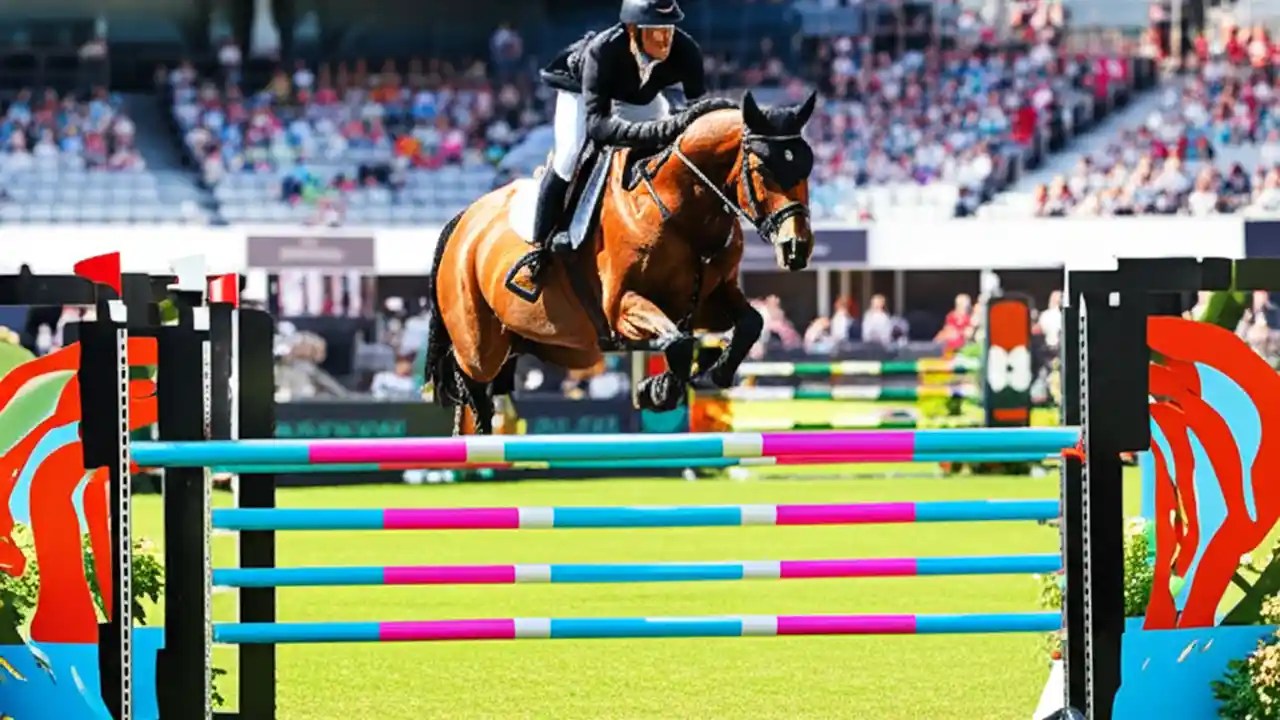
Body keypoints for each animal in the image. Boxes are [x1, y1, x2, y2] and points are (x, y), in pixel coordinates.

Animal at [426, 91, 818, 434]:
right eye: (763, 169)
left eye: (807, 167)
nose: (795, 247)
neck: (681, 211)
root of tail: (463, 221)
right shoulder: (620, 307)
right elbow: (677, 342)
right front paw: (660, 389)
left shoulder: (709, 301)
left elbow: (747, 323)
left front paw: (709, 373)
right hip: (479, 345)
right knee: (472, 387)